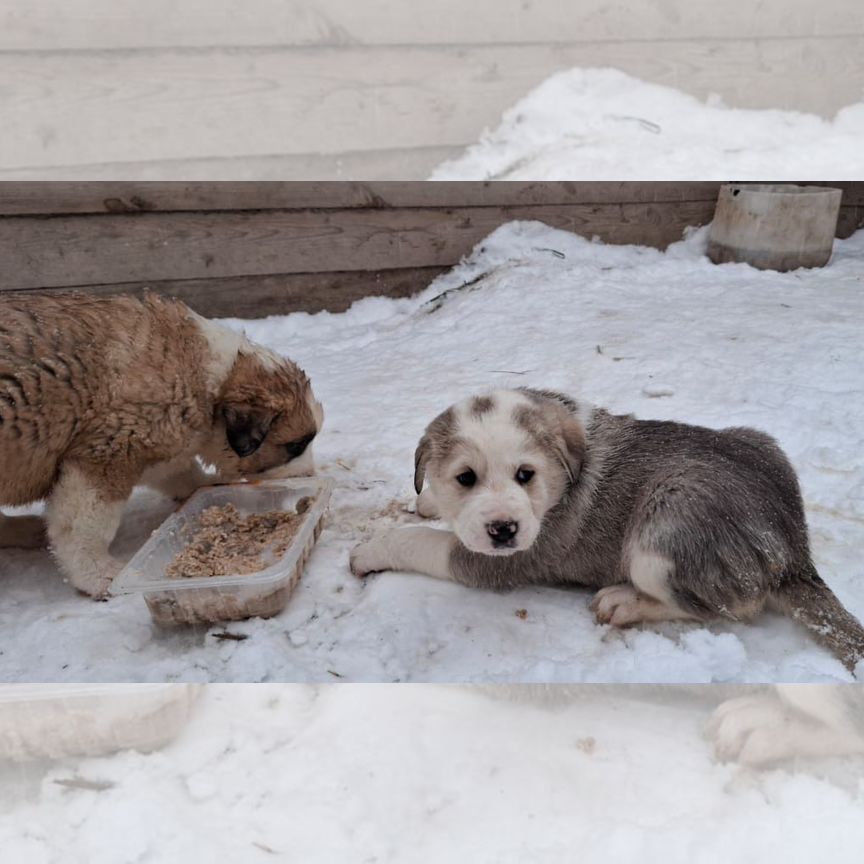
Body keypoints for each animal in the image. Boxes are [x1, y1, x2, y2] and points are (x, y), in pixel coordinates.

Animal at [0, 294, 324, 596]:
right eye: (296, 446)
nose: (309, 477)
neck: (207, 377)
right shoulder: (105, 456)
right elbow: (85, 524)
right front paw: (97, 574)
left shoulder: (158, 437)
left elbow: (176, 472)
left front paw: (206, 489)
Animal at [352, 388, 864, 672]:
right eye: (465, 478)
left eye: (525, 474)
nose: (503, 529)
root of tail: (796, 553)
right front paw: (427, 499)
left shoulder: (501, 559)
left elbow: (422, 542)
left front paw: (371, 549)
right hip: (759, 440)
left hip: (665, 524)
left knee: (718, 608)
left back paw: (623, 602)